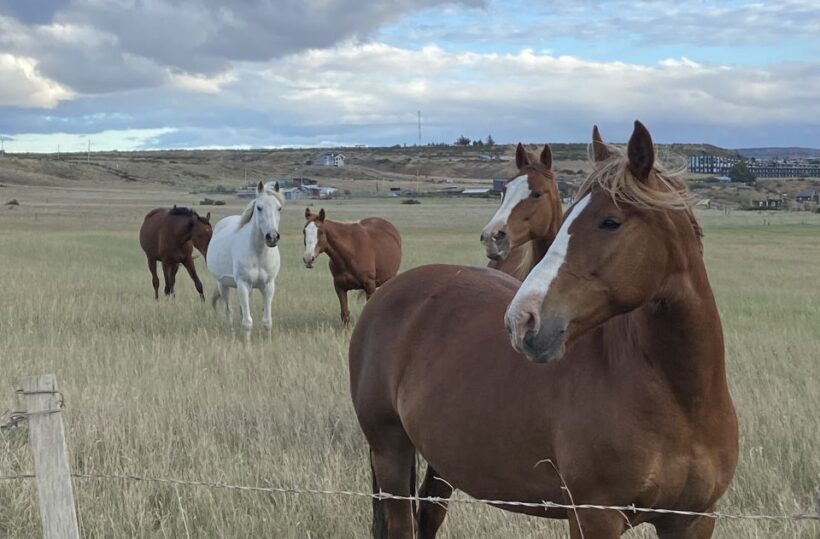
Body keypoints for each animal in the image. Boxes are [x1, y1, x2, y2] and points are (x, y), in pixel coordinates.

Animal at [206, 181, 283, 334]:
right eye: (259, 208)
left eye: (279, 208)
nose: (272, 237)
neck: (258, 253)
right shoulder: (242, 284)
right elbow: (247, 322)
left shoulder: (268, 286)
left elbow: (267, 321)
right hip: (223, 285)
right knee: (228, 311)